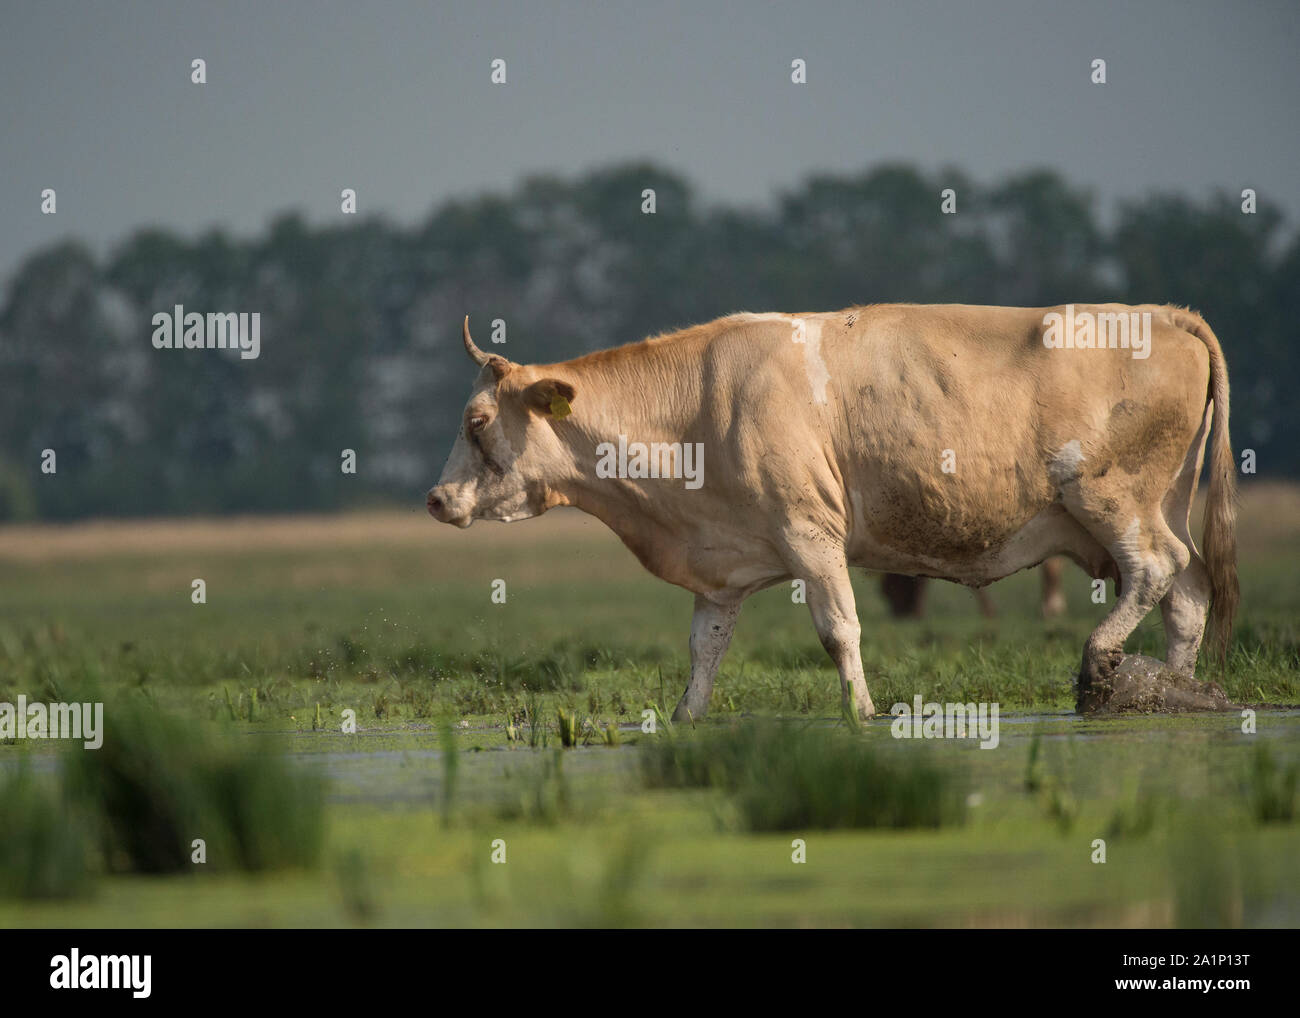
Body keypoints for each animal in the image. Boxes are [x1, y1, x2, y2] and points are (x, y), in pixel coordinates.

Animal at [427, 304, 1237, 721]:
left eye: (476, 421)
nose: (436, 500)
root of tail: (1165, 317)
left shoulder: (811, 534)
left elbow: (839, 629)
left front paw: (862, 712)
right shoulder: (722, 565)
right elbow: (704, 649)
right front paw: (687, 719)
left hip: (1111, 498)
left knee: (1155, 570)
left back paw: (1101, 665)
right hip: (1162, 501)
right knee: (1188, 596)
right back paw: (1178, 688)